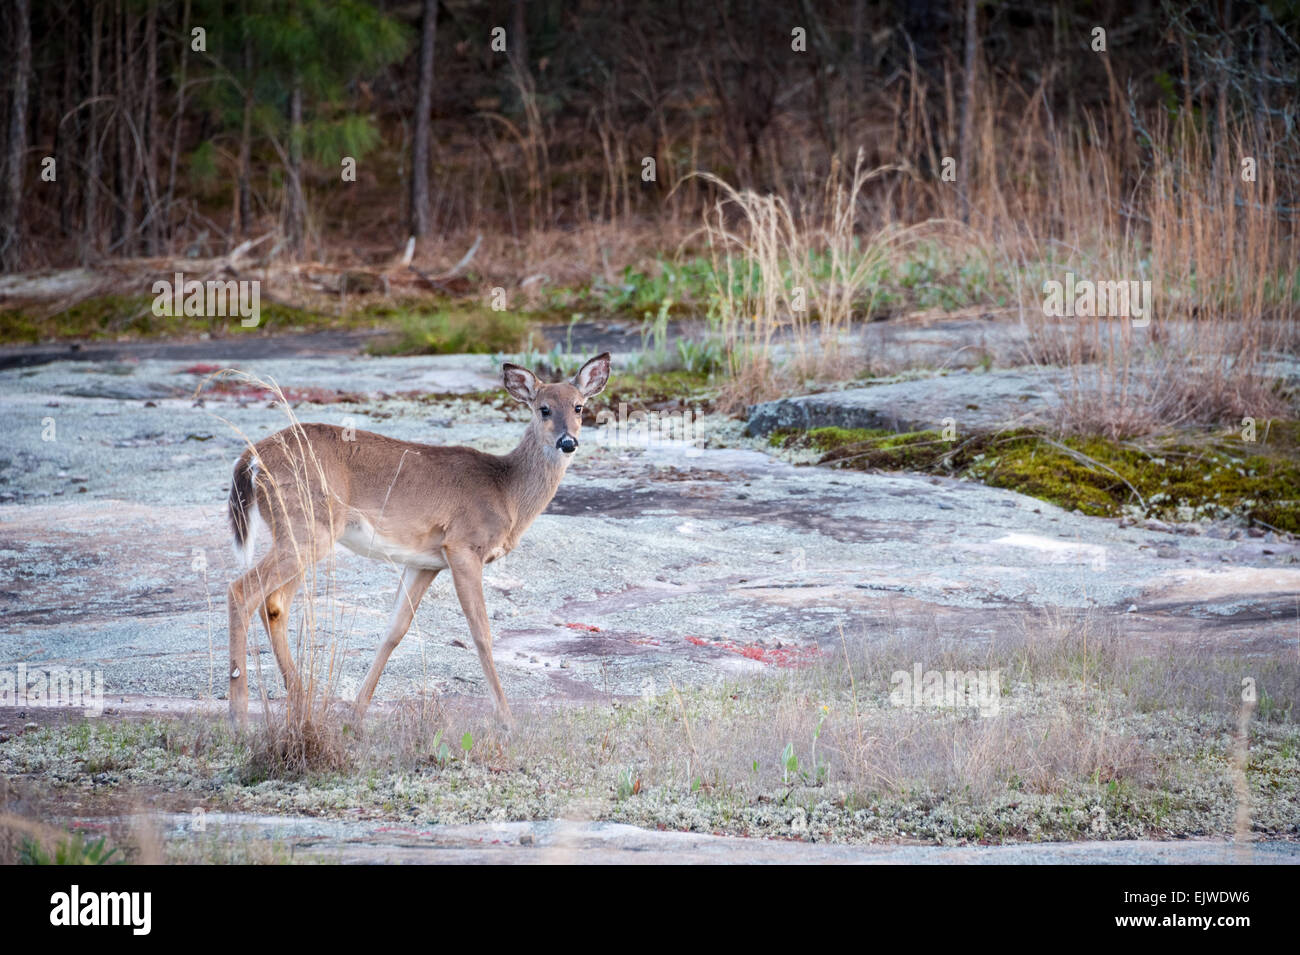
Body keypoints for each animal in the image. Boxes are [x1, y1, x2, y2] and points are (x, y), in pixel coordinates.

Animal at [223, 352, 611, 729]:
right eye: (543, 408)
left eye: (579, 407)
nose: (567, 442)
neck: (505, 490)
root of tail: (251, 458)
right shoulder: (463, 545)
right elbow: (481, 633)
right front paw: (507, 719)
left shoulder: (424, 562)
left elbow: (395, 630)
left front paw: (357, 714)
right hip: (307, 528)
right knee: (243, 590)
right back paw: (240, 715)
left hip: (301, 532)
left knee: (274, 603)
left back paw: (299, 700)